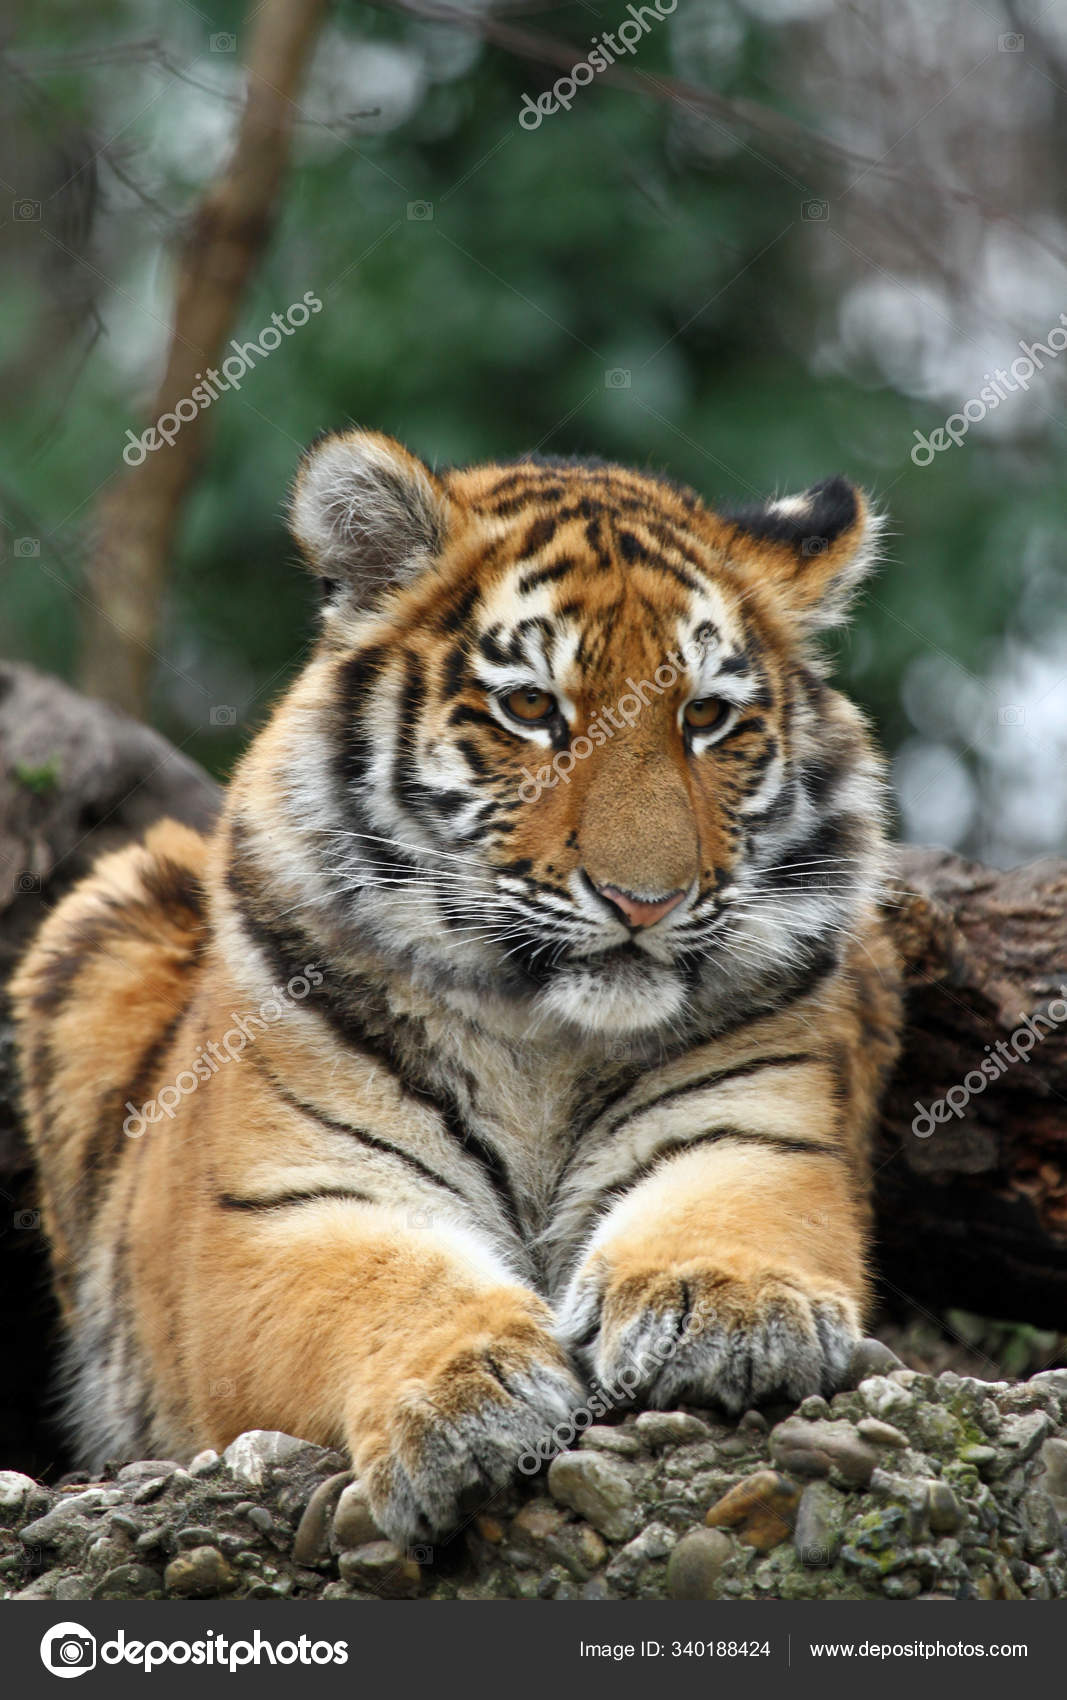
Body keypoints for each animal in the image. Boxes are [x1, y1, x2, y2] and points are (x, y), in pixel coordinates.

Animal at [11, 430, 902, 1545]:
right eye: (529, 708)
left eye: (705, 717)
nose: (644, 900)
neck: (544, 1039)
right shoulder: (280, 1209)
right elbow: (375, 1283)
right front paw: (467, 1396)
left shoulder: (756, 1128)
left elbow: (726, 1210)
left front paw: (730, 1308)